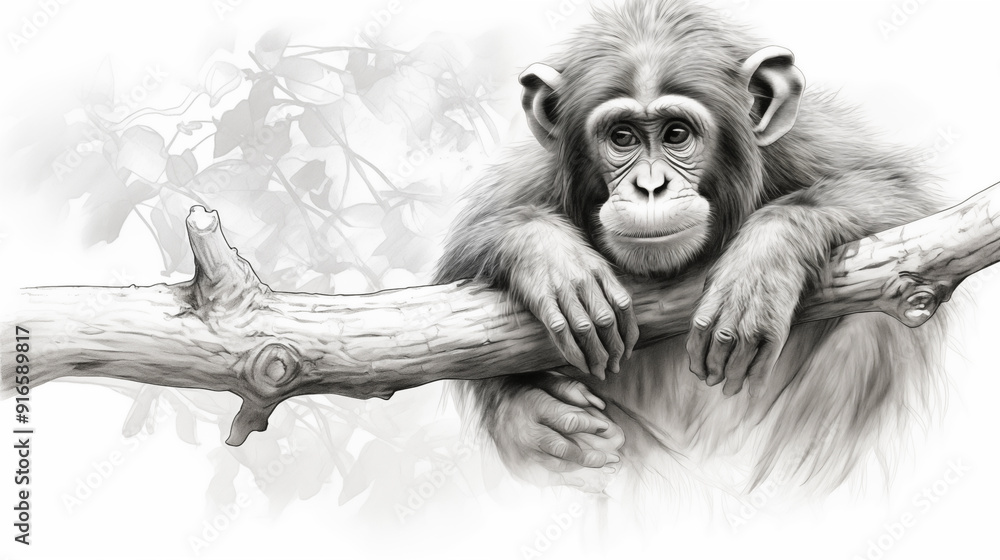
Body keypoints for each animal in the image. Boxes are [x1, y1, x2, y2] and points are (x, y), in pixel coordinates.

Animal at [434, 0, 946, 496]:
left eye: (676, 134)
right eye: (622, 137)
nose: (649, 187)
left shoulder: (812, 143)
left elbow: (907, 204)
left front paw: (759, 268)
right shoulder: (531, 177)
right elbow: (457, 283)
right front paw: (553, 267)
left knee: (876, 329)